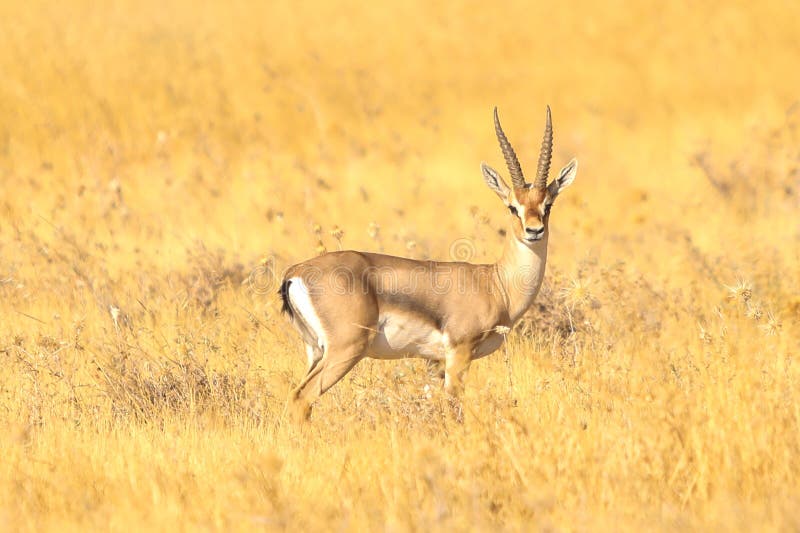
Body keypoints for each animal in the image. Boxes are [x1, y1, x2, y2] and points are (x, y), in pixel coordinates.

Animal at [279, 107, 578, 421]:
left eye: (547, 205)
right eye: (512, 207)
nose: (534, 231)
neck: (496, 285)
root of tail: (295, 273)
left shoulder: (434, 362)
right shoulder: (459, 352)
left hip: (316, 351)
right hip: (345, 350)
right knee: (301, 397)